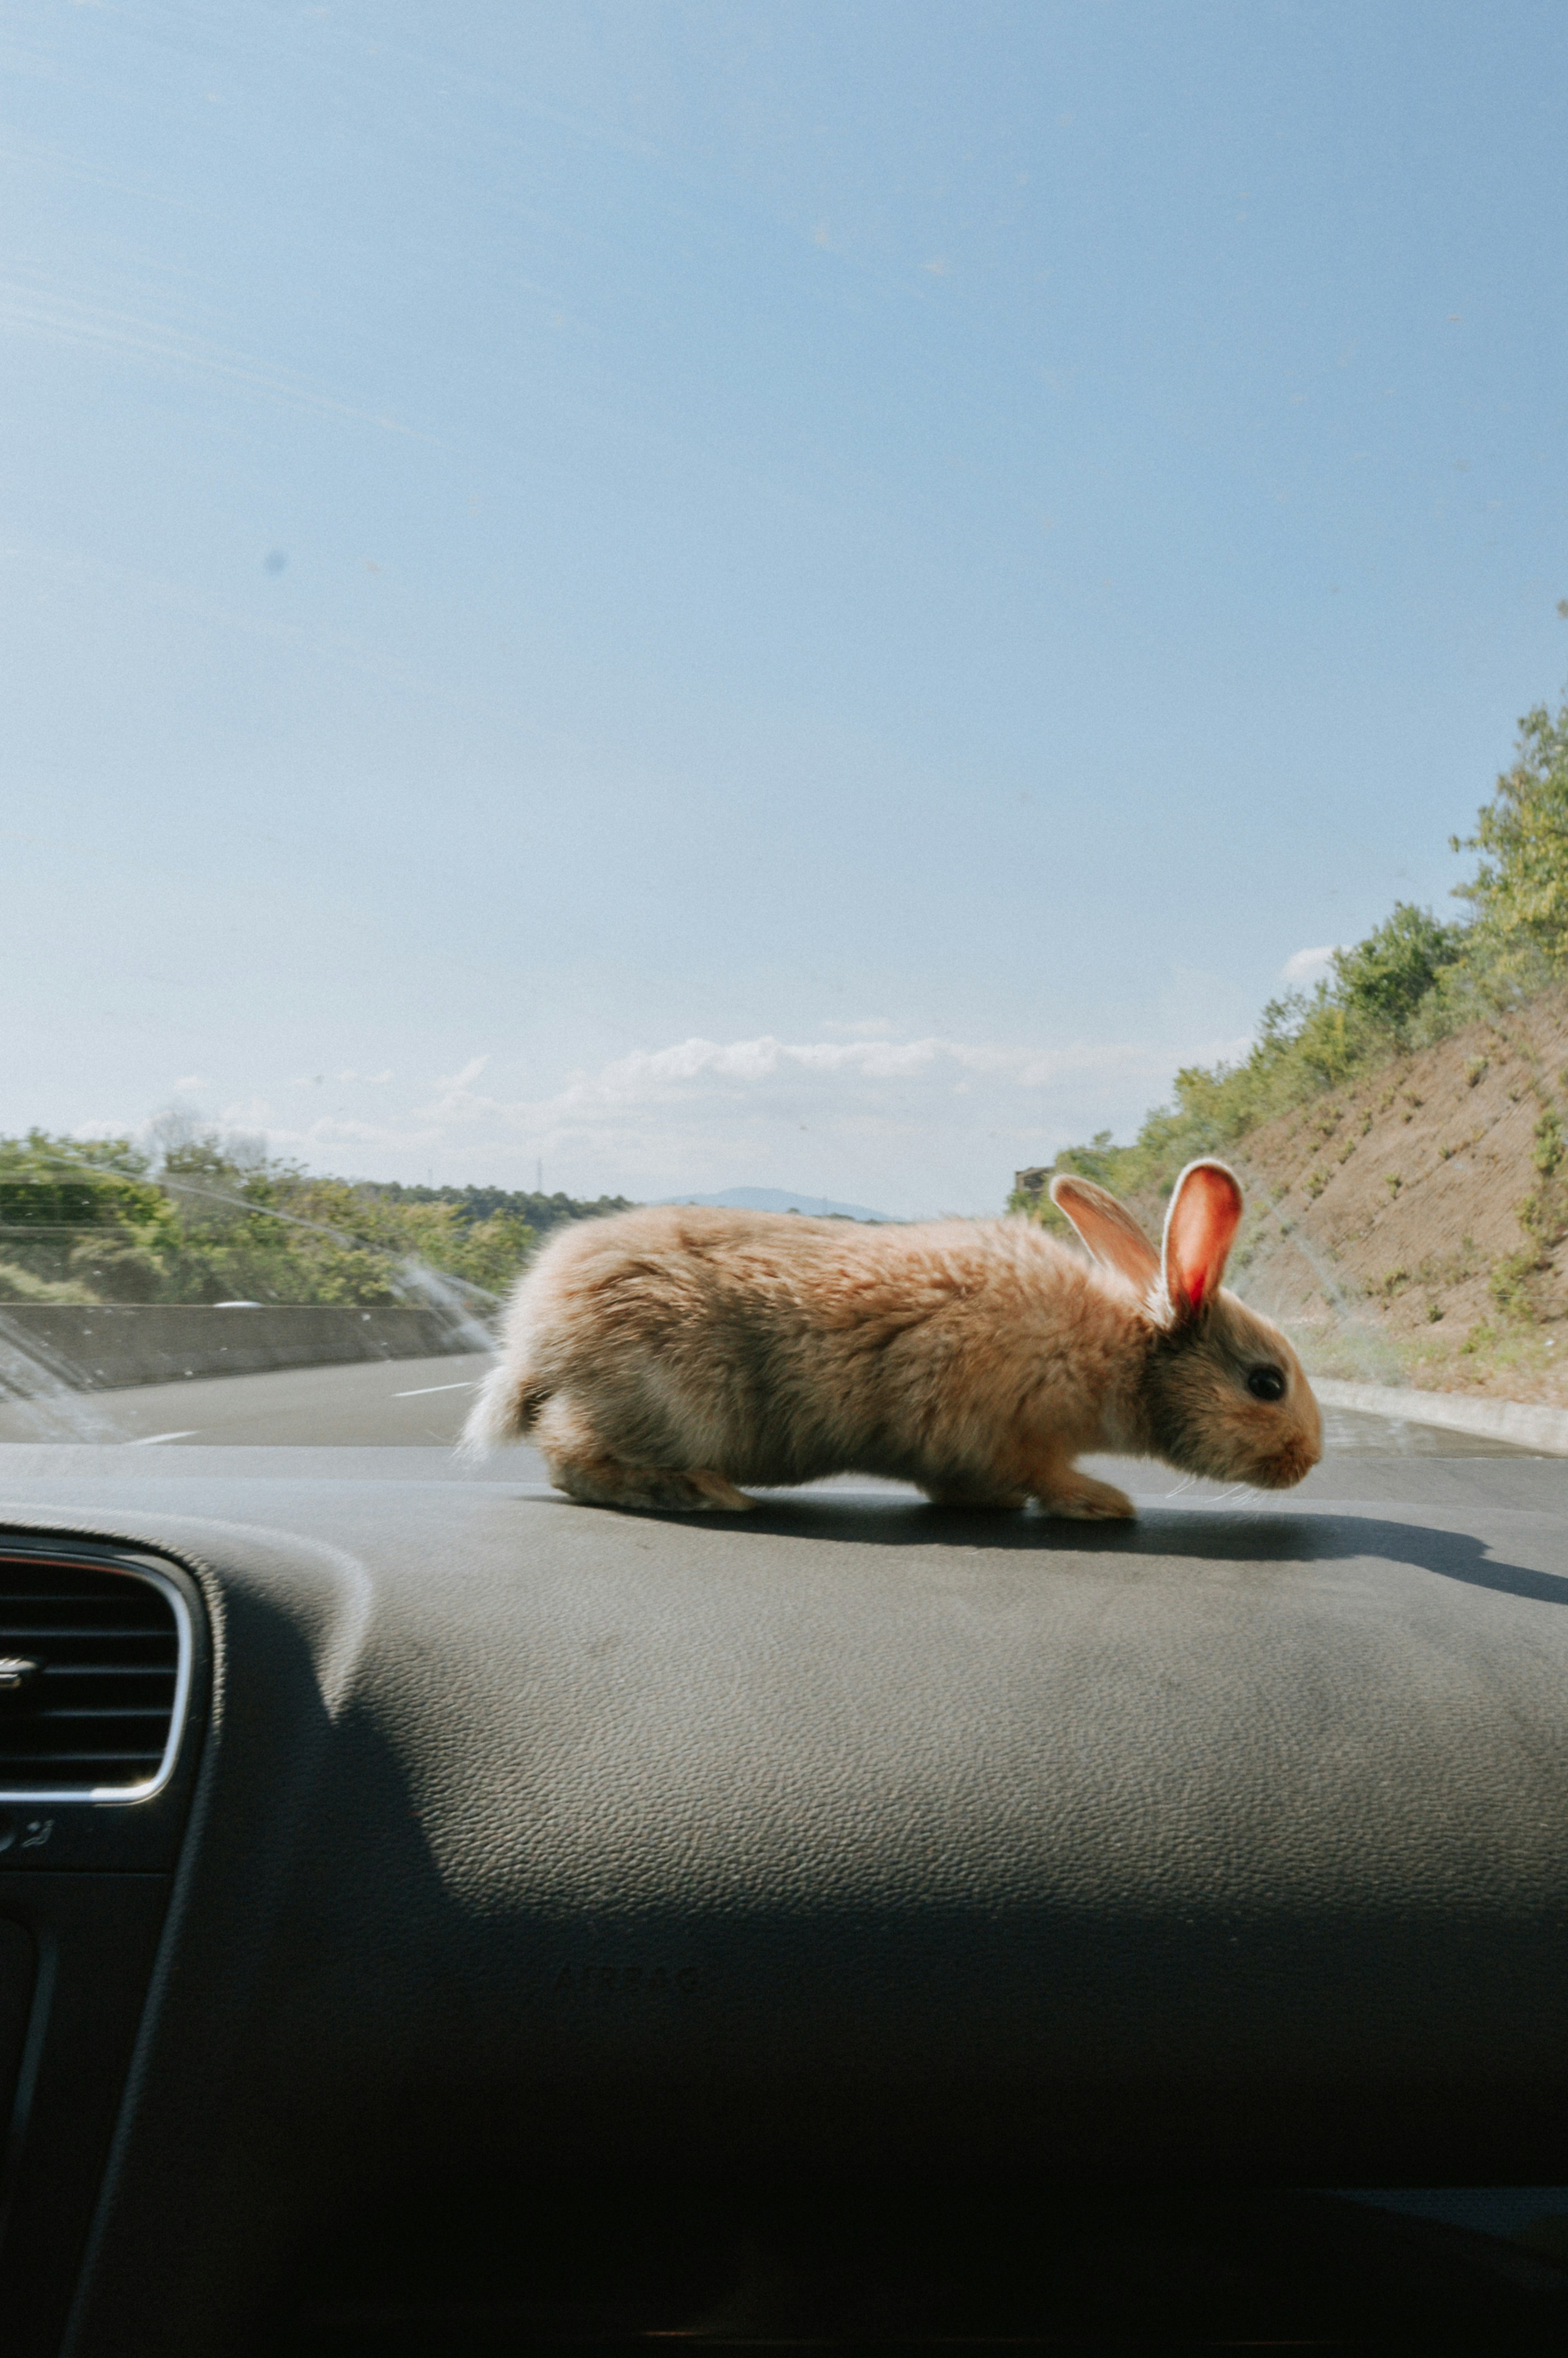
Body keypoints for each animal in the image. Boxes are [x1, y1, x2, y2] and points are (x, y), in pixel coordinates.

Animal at [461, 1159, 1321, 1517]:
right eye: (1266, 1382)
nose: (1309, 1462)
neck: (1121, 1355)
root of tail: (536, 1344)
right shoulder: (1007, 1435)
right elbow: (1039, 1478)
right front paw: (1104, 1504)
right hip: (667, 1398)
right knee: (570, 1457)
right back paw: (698, 1492)